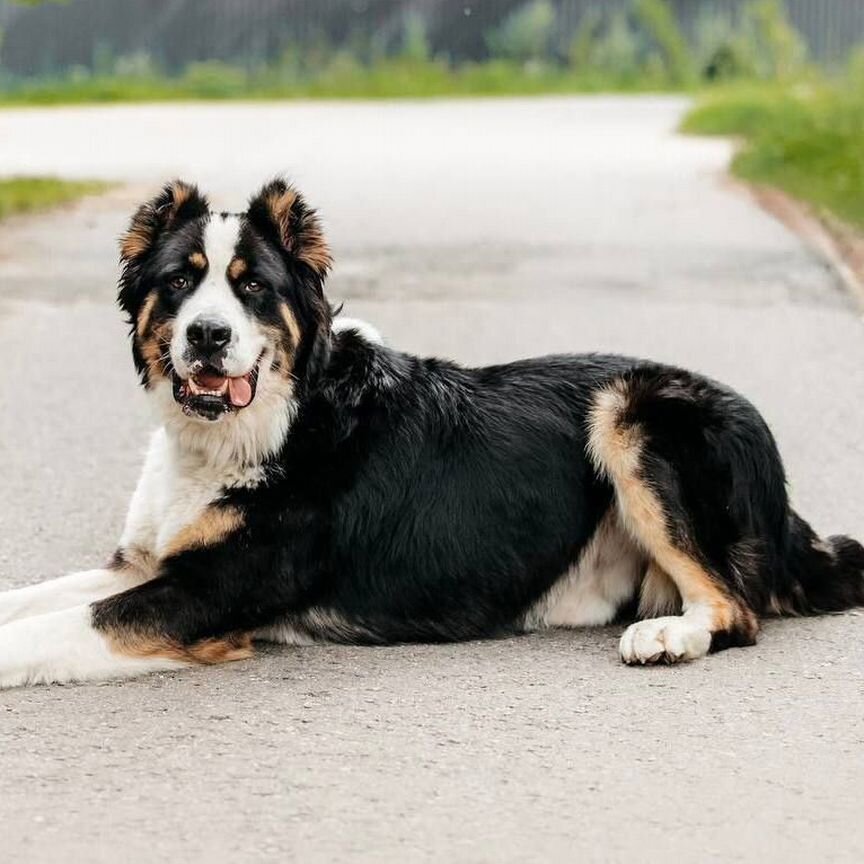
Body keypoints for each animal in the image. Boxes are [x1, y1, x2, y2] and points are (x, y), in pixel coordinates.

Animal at [1, 177, 864, 688]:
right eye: (180, 282)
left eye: (253, 290)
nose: (207, 336)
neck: (277, 422)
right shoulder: (146, 566)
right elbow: (31, 599)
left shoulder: (206, 592)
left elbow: (51, 626)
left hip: (630, 411)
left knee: (735, 608)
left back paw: (667, 639)